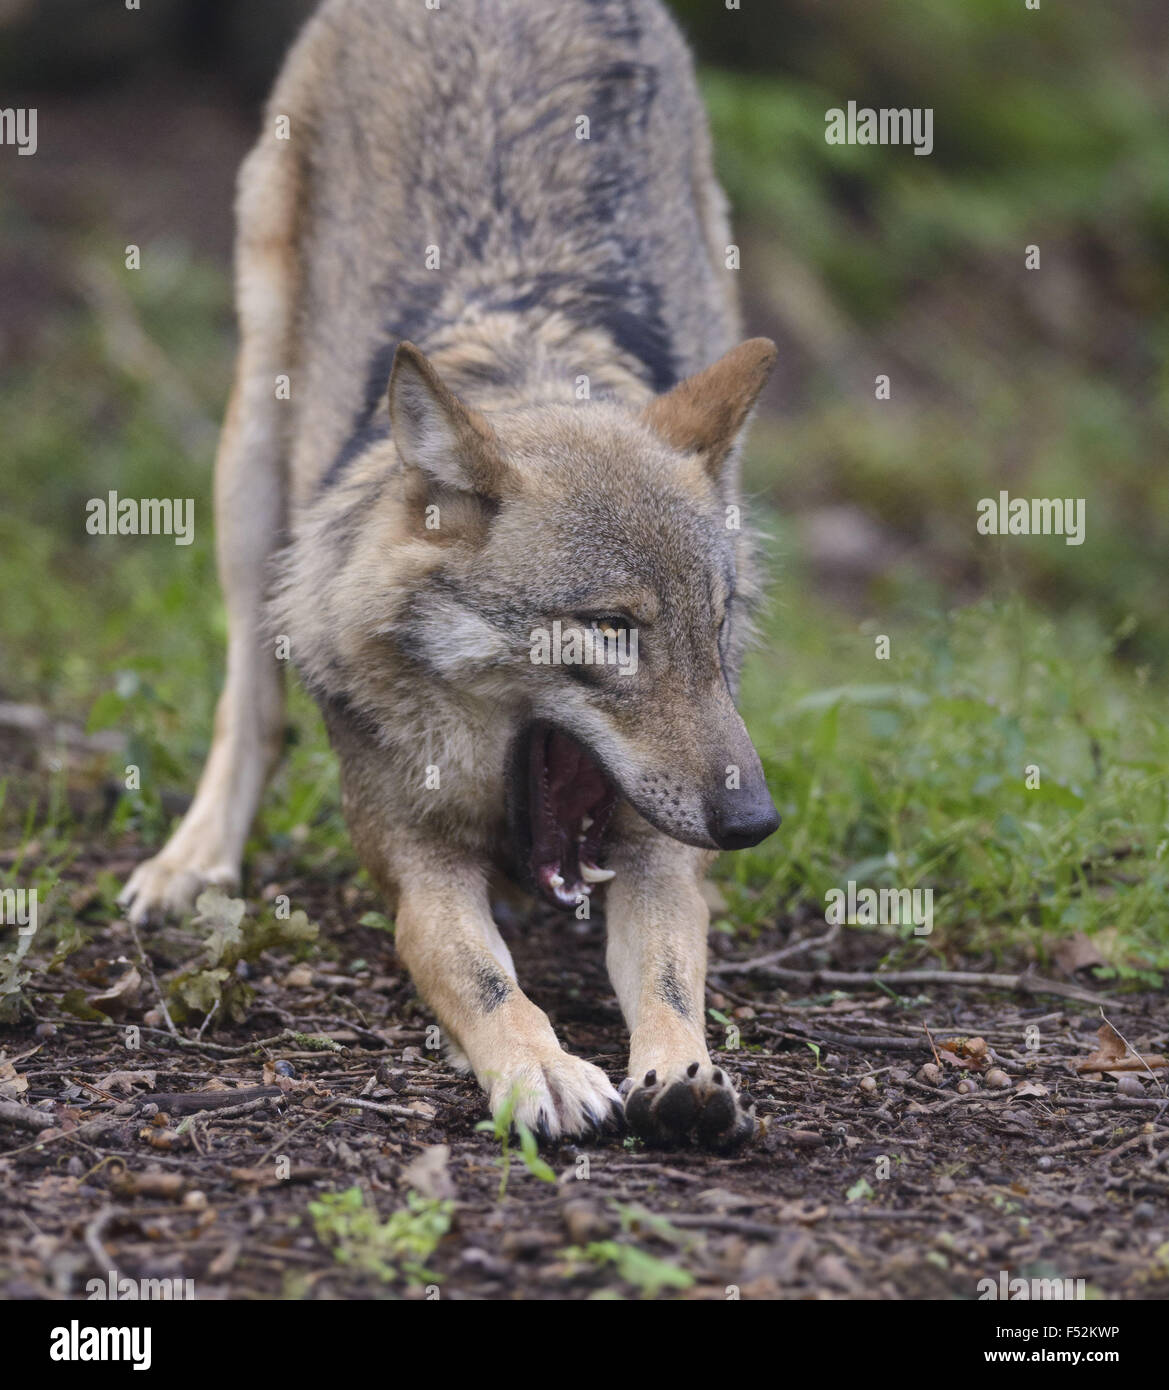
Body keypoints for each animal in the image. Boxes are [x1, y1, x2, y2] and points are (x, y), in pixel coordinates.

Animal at [119, 0, 781, 1151]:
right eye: (611, 627)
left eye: (713, 624)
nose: (752, 824)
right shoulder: (415, 862)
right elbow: (473, 970)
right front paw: (542, 1069)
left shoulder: (652, 851)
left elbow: (667, 972)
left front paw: (686, 1076)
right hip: (249, 466)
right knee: (251, 697)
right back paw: (193, 859)